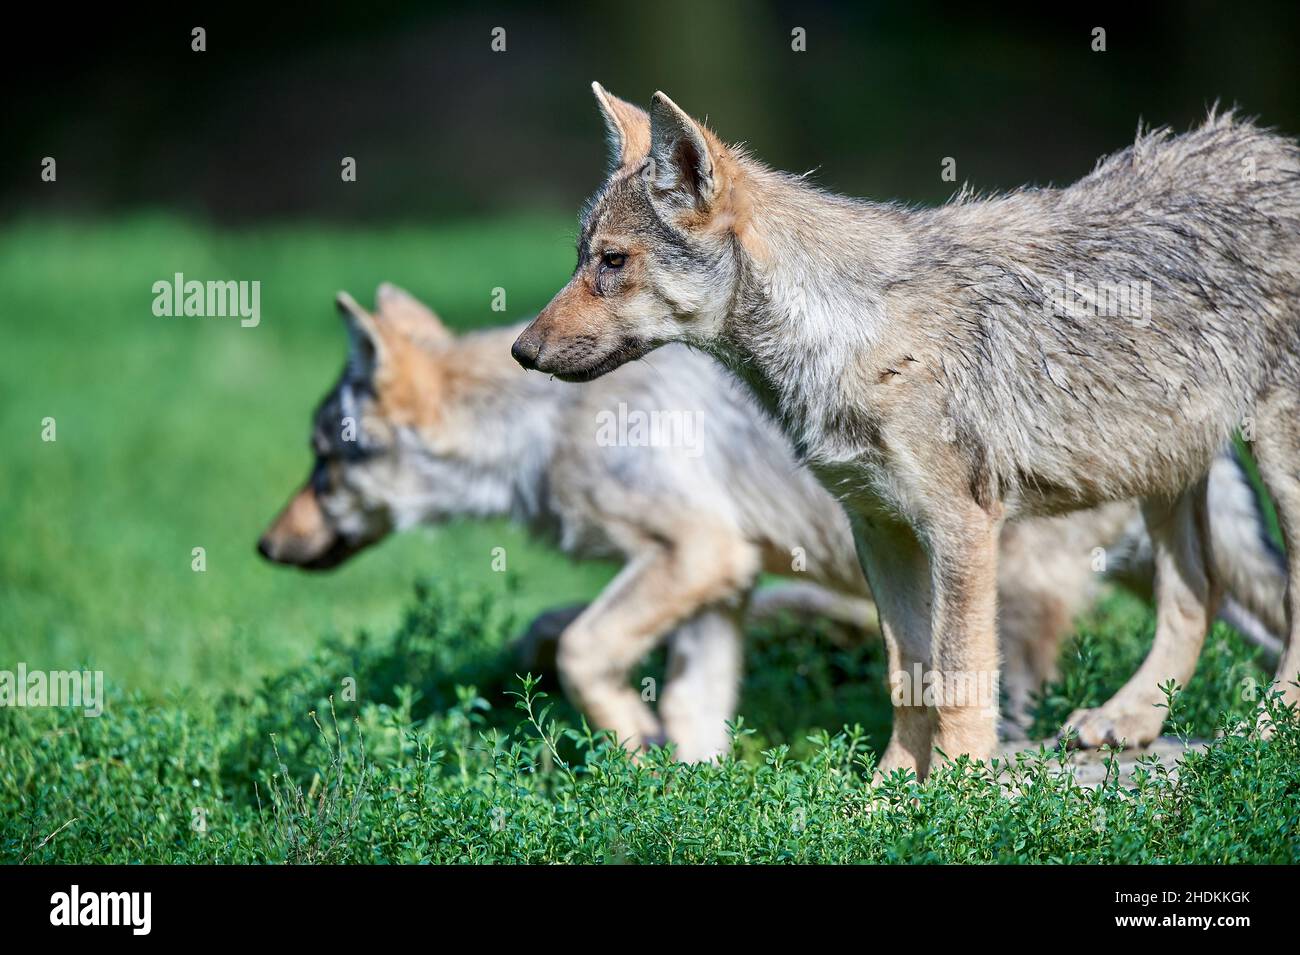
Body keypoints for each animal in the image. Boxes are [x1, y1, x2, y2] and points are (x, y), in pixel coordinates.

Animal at [260, 286, 1285, 761]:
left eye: (321, 462)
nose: (265, 546)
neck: (540, 426)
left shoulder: (694, 552)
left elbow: (581, 648)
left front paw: (630, 741)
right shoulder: (726, 584)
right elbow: (688, 709)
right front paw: (681, 785)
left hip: (1007, 603)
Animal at [512, 85, 1300, 776]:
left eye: (613, 261)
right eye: (580, 257)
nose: (521, 351)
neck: (849, 335)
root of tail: (1270, 142)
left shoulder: (964, 527)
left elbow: (955, 681)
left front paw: (954, 792)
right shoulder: (880, 527)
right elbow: (908, 680)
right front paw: (888, 795)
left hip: (1270, 462)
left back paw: (1266, 731)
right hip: (1165, 472)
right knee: (1199, 594)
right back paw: (1129, 719)